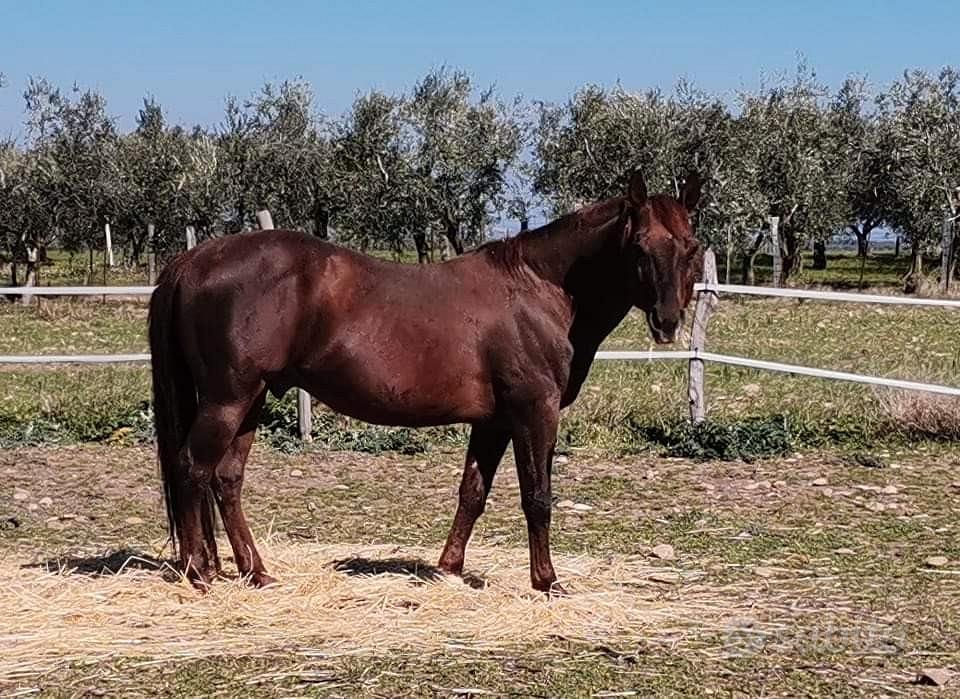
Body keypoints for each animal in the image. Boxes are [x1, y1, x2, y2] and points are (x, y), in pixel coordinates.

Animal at [148, 169, 703, 594]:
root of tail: (194, 258)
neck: (540, 289)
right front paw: (547, 581)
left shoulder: (494, 422)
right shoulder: (534, 411)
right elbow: (537, 496)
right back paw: (200, 571)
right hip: (228, 399)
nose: (668, 321)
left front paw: (448, 569)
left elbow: (473, 493)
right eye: (639, 247)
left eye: (692, 246)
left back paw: (253, 572)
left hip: (252, 399)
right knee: (192, 468)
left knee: (225, 479)